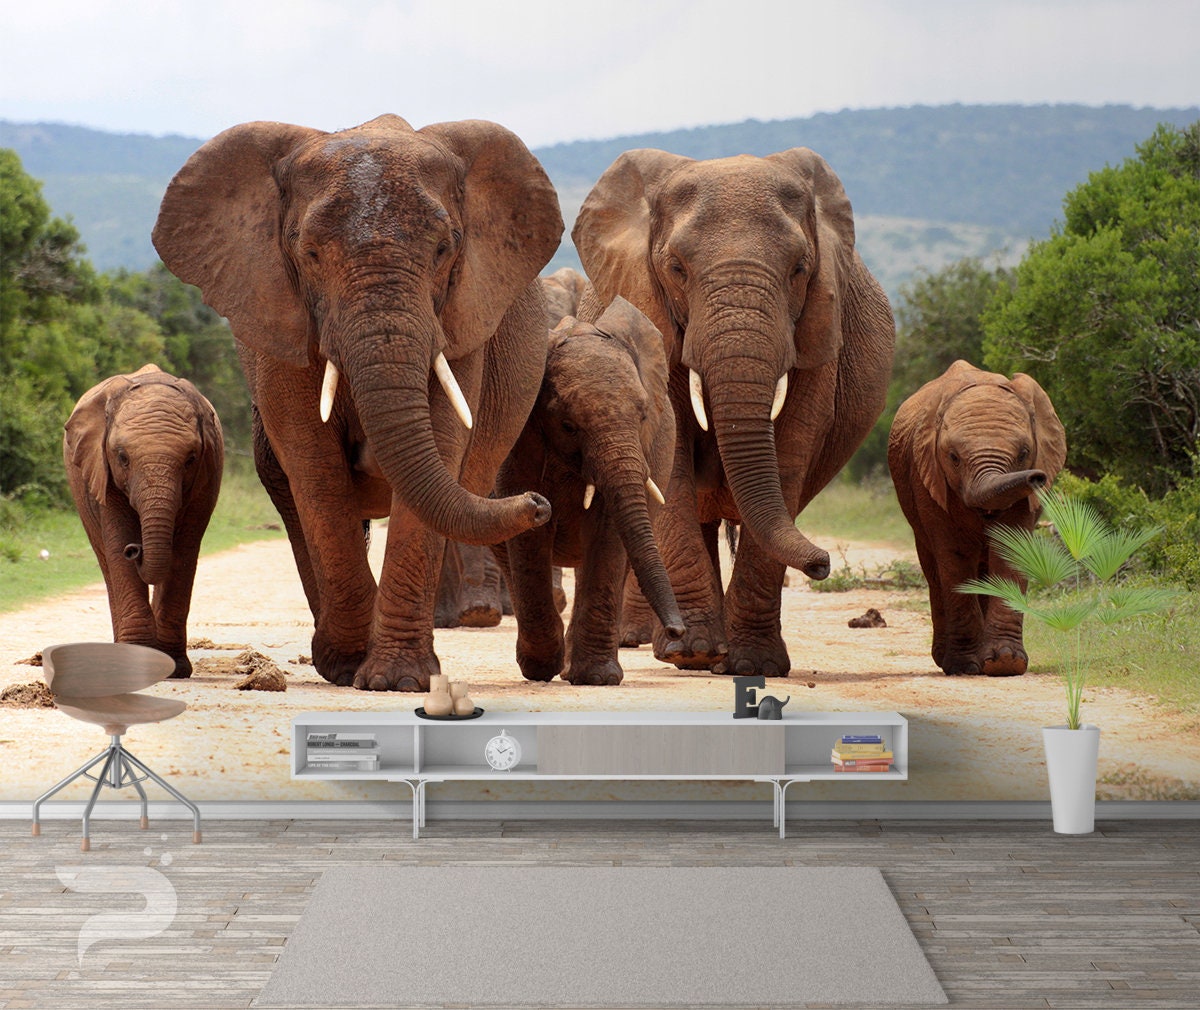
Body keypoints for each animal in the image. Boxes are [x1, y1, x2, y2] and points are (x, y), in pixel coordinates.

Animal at [63, 364, 224, 678]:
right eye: (122, 457)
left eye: (191, 459)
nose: (135, 550)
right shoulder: (102, 470)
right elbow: (118, 541)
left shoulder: (206, 475)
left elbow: (185, 550)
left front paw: (174, 668)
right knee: (105, 558)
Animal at [153, 115, 563, 691]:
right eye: (309, 254)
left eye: (445, 249)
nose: (539, 503)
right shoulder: (279, 318)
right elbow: (314, 465)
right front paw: (349, 666)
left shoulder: (460, 320)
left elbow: (441, 446)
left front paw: (397, 680)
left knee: (474, 497)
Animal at [494, 296, 685, 685]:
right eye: (568, 425)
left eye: (644, 417)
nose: (678, 631)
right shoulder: (519, 442)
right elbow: (529, 532)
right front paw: (542, 668)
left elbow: (608, 532)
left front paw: (597, 677)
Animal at [573, 147, 895, 677]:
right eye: (676, 268)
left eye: (800, 269)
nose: (823, 564)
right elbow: (673, 454)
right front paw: (697, 653)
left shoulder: (817, 334)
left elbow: (790, 452)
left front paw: (753, 665)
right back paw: (682, 648)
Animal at [888, 359, 1067, 676]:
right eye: (953, 457)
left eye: (1024, 453)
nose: (1037, 478)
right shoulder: (928, 478)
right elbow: (955, 558)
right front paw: (965, 666)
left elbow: (1010, 552)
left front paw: (1005, 663)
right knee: (935, 570)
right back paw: (945, 659)